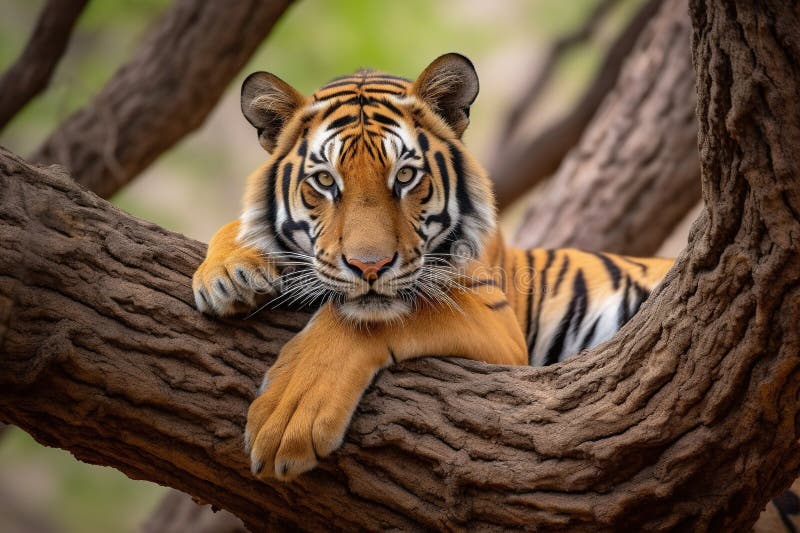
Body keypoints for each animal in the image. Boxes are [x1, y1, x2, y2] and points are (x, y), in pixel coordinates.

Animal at [192, 53, 674, 481]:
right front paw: (230, 271)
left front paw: (289, 415)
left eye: (405, 176)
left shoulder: (497, 322)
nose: (370, 267)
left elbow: (375, 319)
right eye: (325, 181)